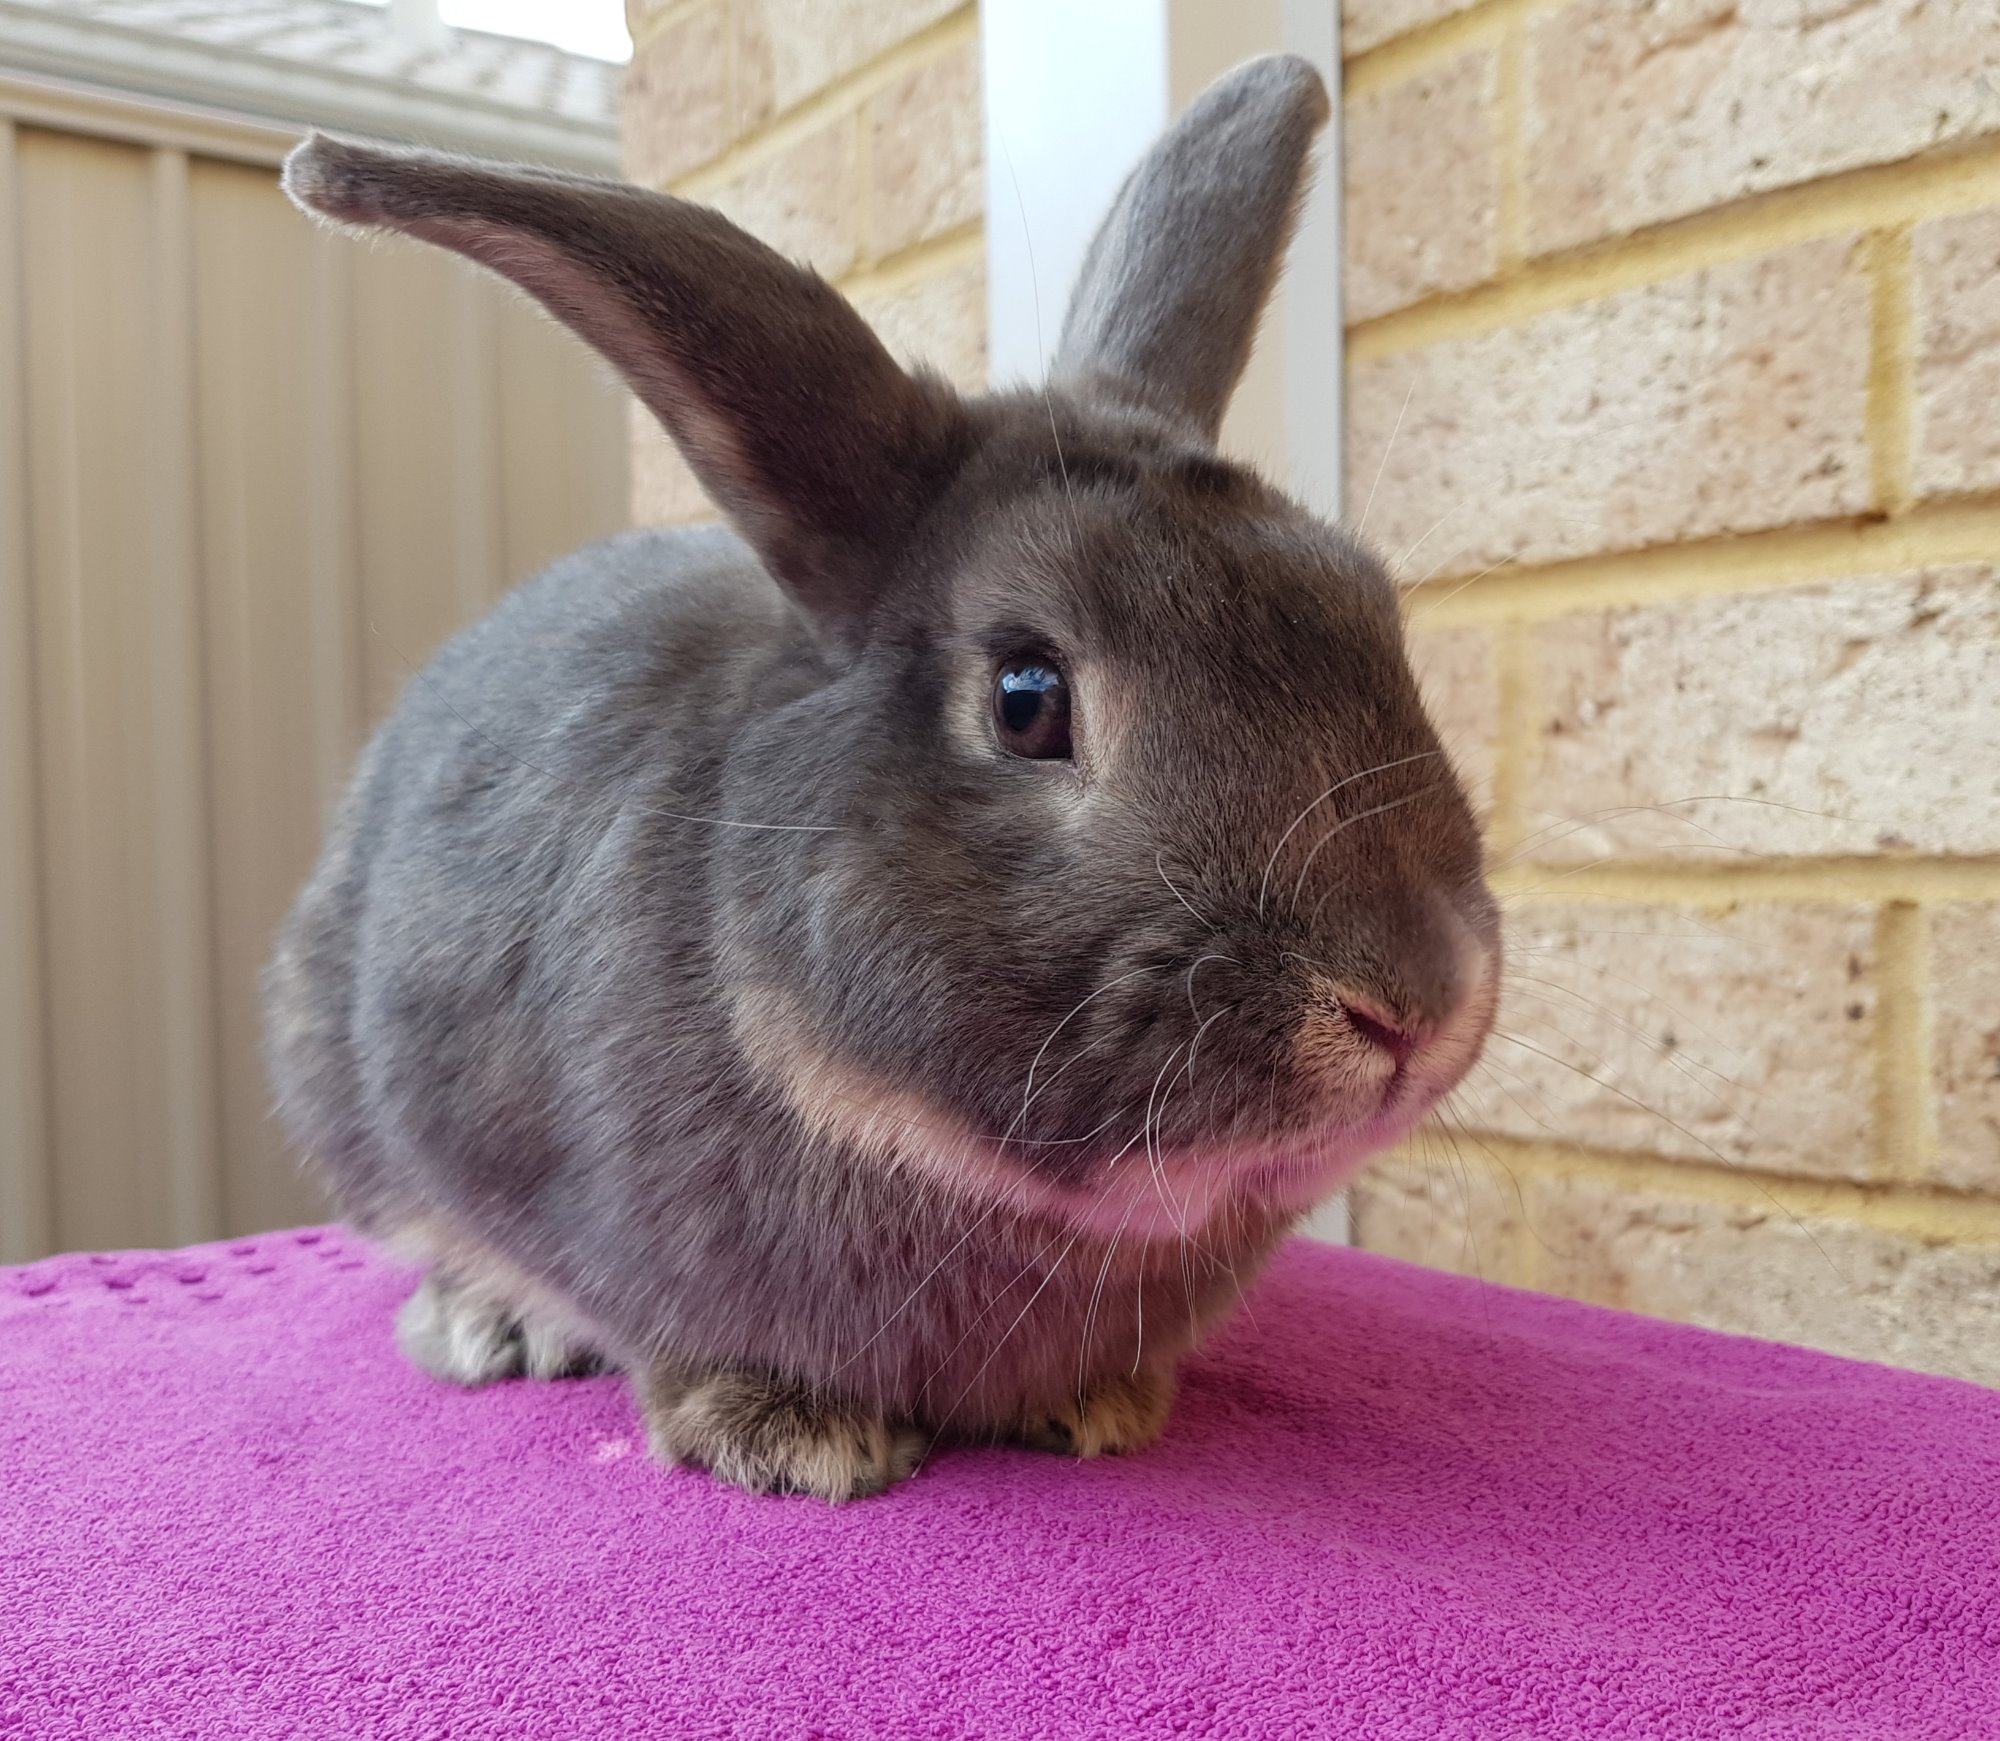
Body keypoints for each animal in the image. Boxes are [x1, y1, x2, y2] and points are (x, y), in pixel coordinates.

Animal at [265, 53, 1500, 1503]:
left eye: (1370, 616)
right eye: (1027, 698)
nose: (1411, 1004)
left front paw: (1100, 1407)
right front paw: (790, 1440)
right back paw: (491, 1325)